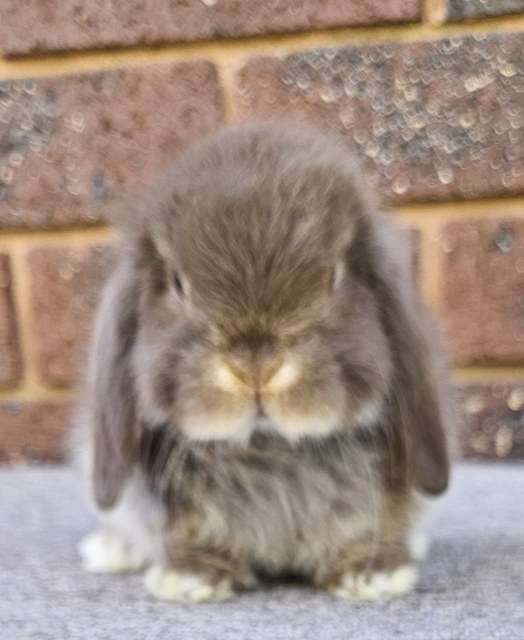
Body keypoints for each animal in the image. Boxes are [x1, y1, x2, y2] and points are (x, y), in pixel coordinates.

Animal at [72, 119, 451, 603]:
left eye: (334, 277)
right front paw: (192, 579)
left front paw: (373, 575)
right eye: (177, 284)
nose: (255, 366)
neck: (268, 445)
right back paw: (110, 551)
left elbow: (369, 527)